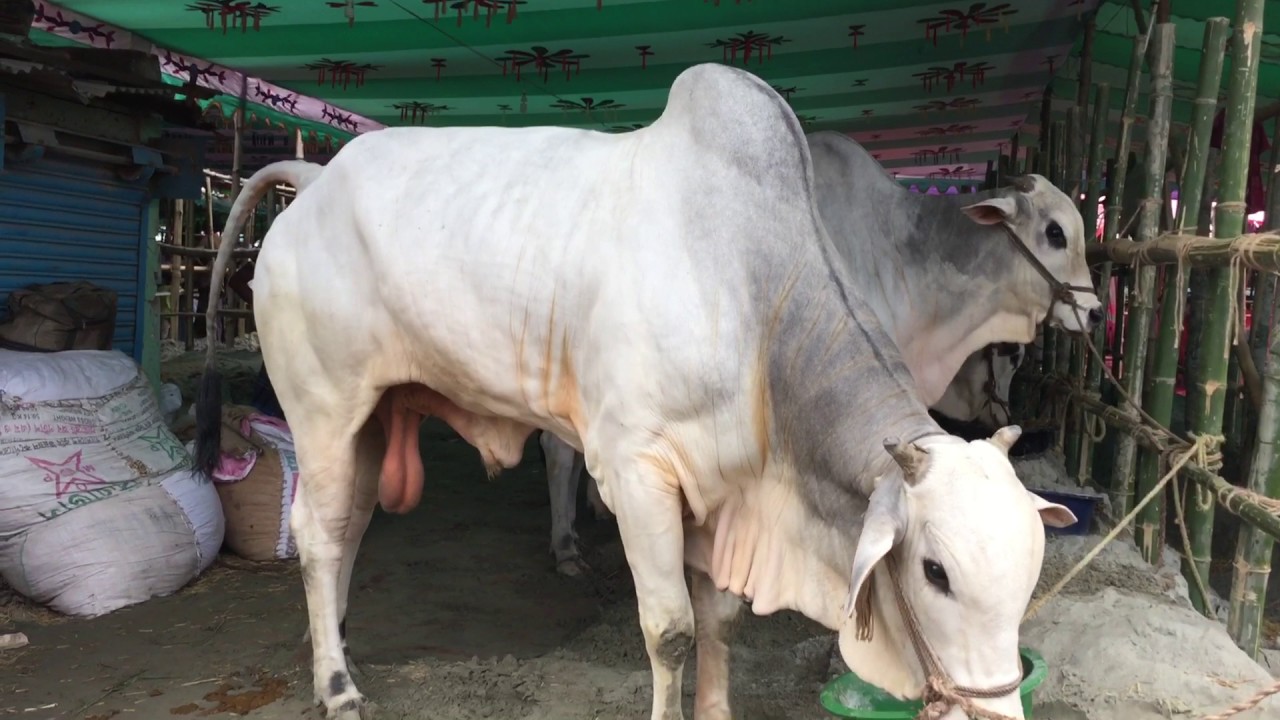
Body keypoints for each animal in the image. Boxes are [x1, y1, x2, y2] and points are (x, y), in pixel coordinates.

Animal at [196, 63, 1076, 720]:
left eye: (1033, 567)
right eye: (935, 572)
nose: (999, 708)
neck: (756, 300)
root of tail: (313, 177)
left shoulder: (724, 497)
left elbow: (719, 621)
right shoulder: (637, 474)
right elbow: (671, 632)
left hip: (375, 416)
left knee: (347, 527)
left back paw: (337, 647)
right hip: (321, 408)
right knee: (316, 532)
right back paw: (337, 685)